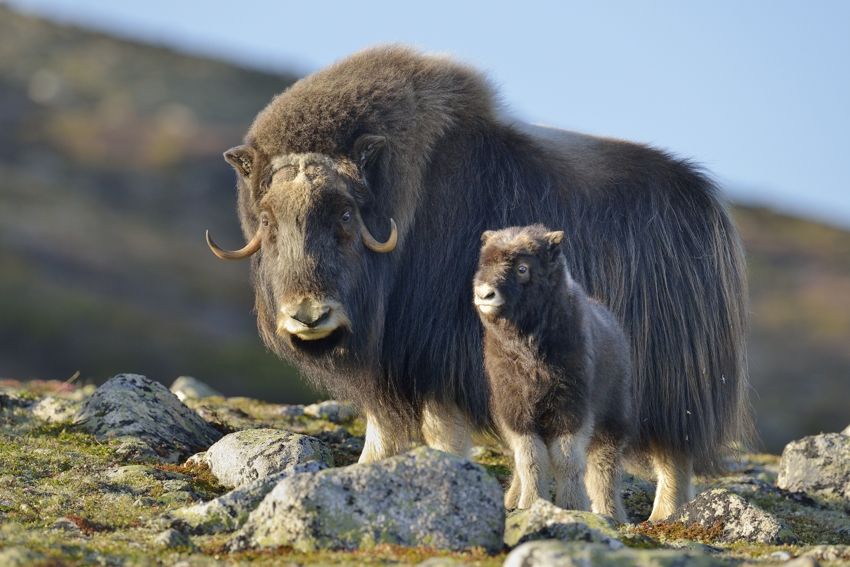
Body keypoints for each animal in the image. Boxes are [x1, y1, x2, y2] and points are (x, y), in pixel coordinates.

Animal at [474, 224, 632, 520]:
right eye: (484, 263)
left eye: (522, 267)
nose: (484, 294)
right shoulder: (516, 411)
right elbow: (530, 458)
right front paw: (530, 503)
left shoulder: (570, 408)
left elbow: (566, 459)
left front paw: (572, 506)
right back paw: (512, 500)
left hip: (612, 422)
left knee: (603, 469)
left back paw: (611, 514)